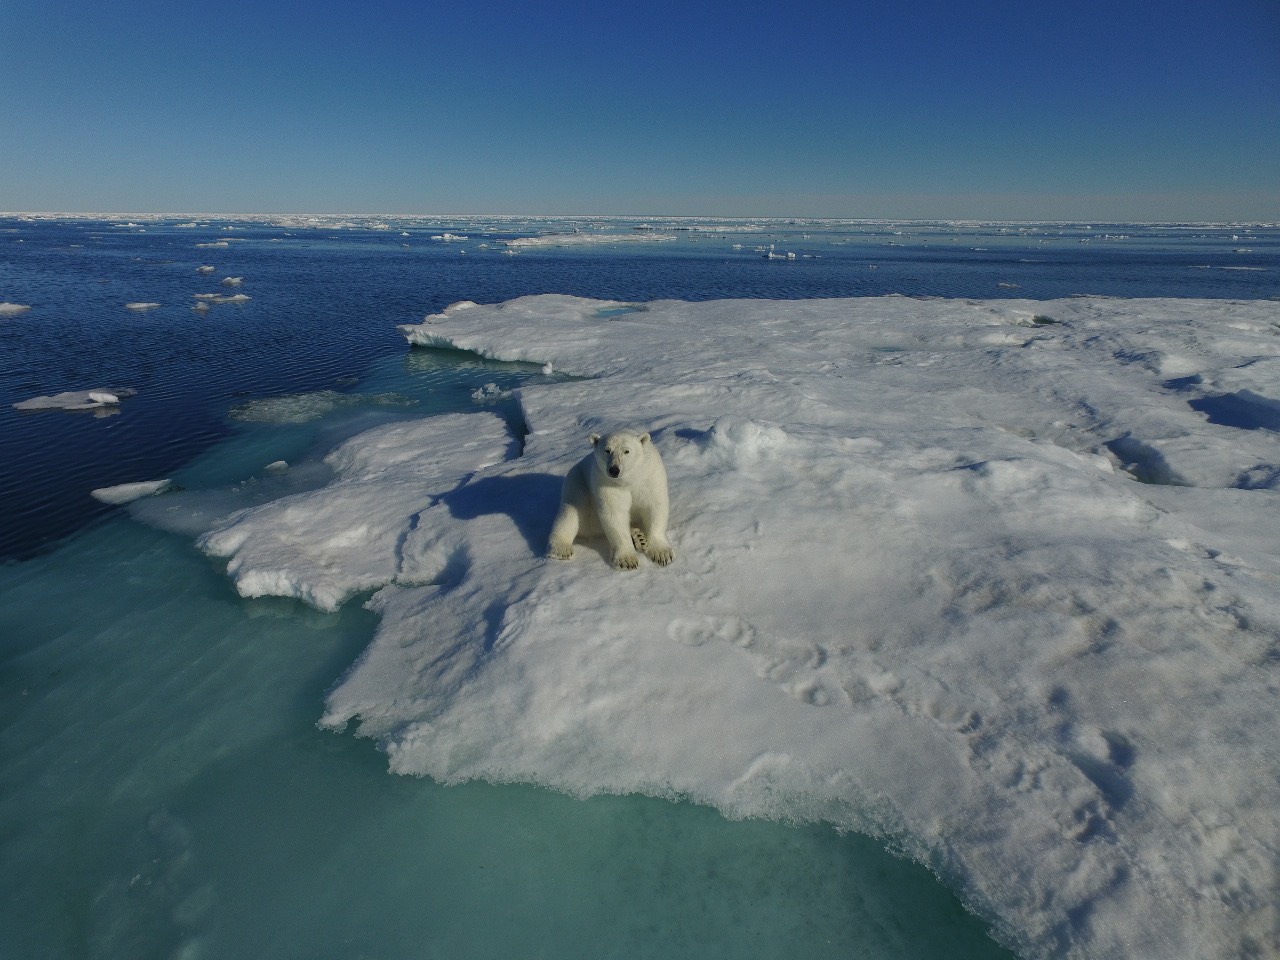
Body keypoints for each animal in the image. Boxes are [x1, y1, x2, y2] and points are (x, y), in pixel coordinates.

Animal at [545, 427, 675, 570]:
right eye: (607, 450)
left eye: (626, 451)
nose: (614, 470)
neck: (629, 479)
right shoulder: (606, 482)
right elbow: (615, 514)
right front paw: (627, 560)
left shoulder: (649, 476)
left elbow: (655, 507)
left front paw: (662, 554)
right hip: (577, 482)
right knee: (570, 512)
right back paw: (562, 549)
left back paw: (639, 537)